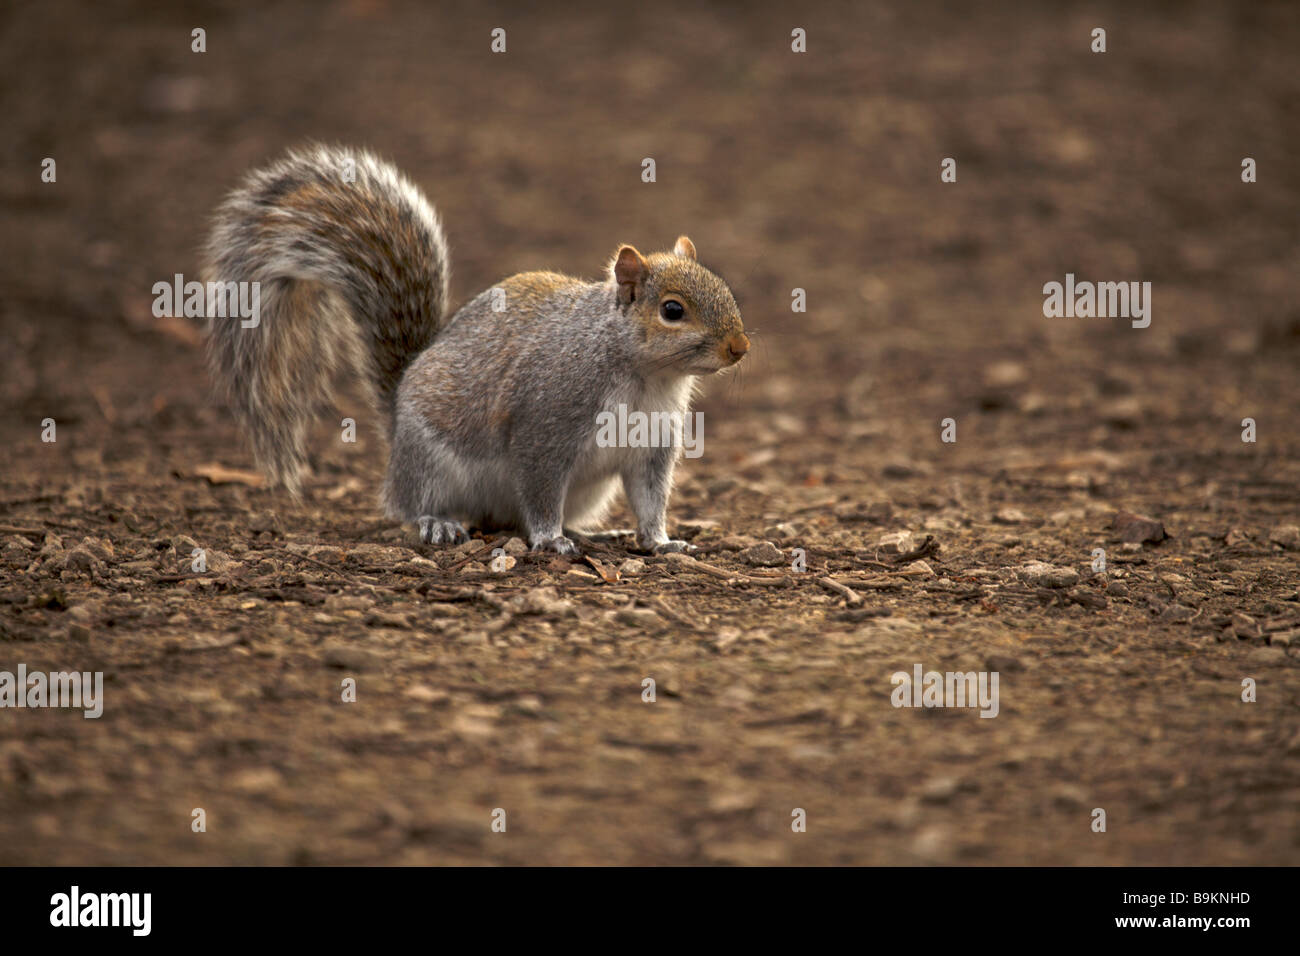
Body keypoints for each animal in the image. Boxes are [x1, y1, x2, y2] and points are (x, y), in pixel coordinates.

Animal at [203, 145, 749, 555]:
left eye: (725, 287)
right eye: (672, 310)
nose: (739, 348)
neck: (645, 376)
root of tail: (398, 415)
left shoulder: (652, 445)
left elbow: (651, 499)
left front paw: (660, 541)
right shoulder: (545, 423)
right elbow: (540, 490)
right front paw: (549, 539)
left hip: (589, 490)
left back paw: (589, 530)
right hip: (431, 461)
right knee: (408, 502)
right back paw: (440, 522)